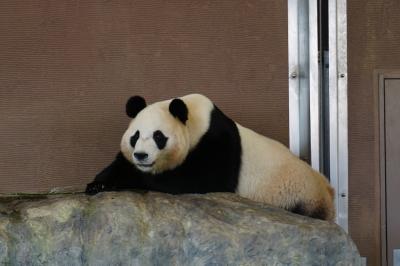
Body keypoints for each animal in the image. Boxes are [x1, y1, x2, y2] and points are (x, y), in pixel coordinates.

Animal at [86, 93, 336, 220]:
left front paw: (141, 178)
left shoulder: (217, 144)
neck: (196, 120)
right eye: (135, 136)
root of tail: (327, 188)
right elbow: (119, 165)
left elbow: (196, 181)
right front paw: (98, 184)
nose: (141, 155)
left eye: (159, 136)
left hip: (297, 194)